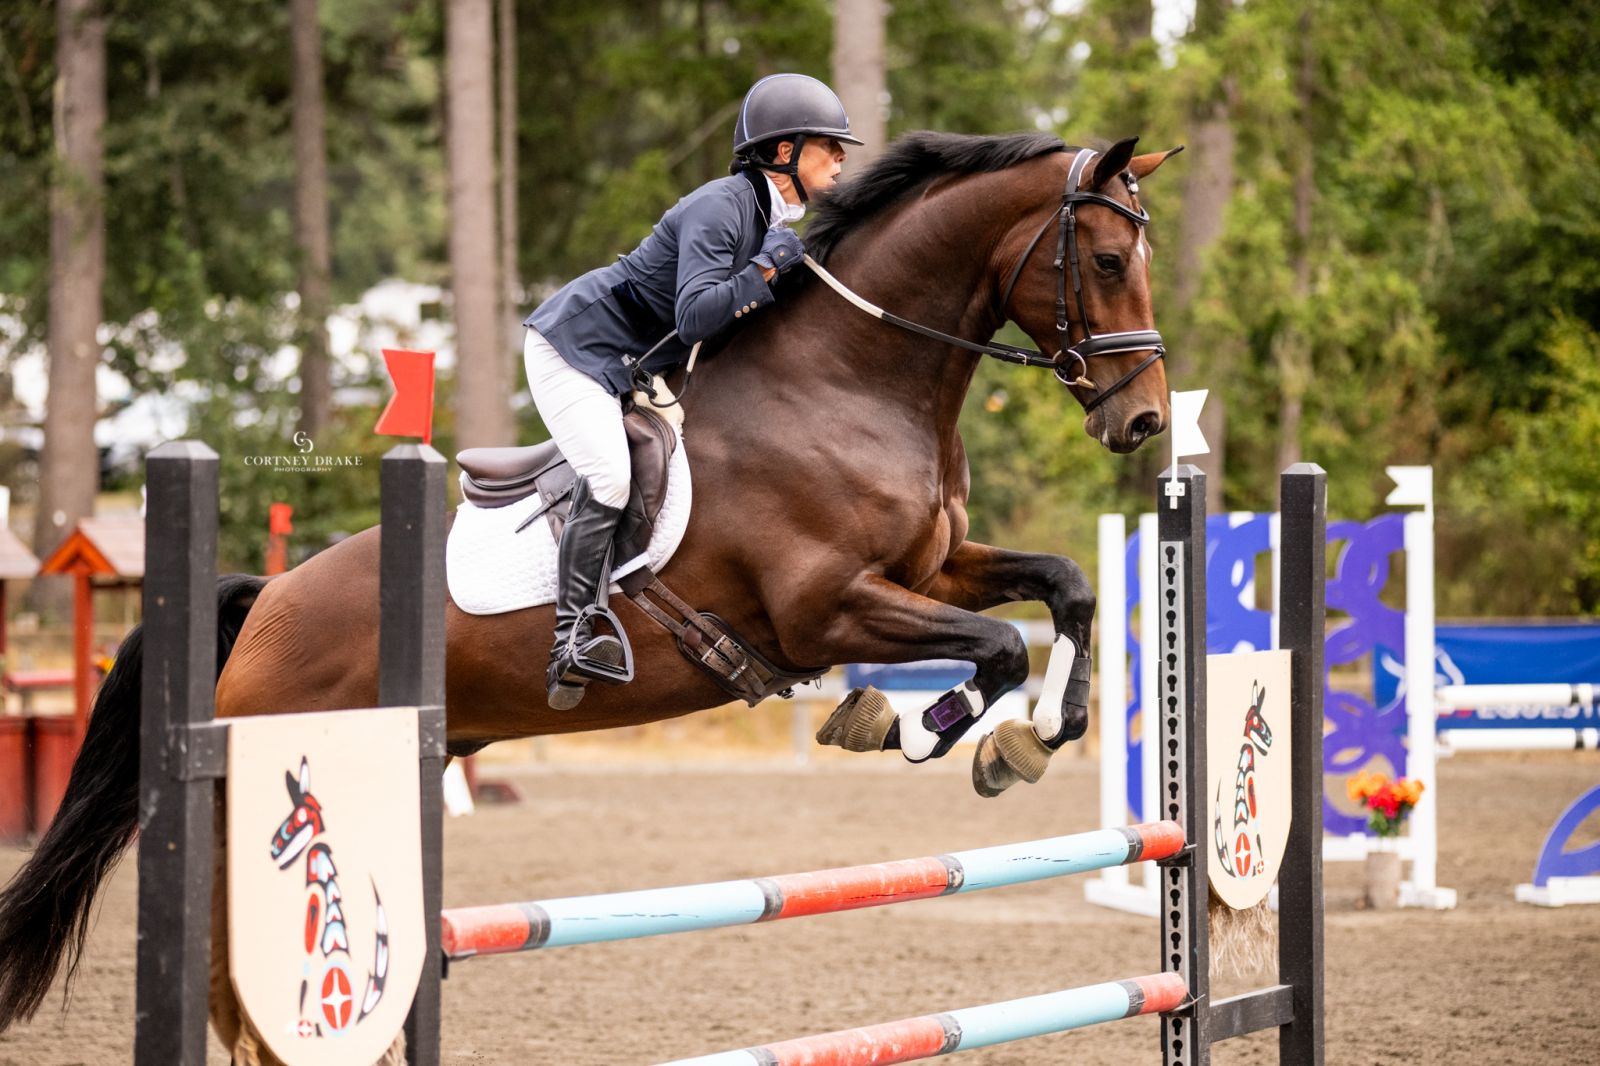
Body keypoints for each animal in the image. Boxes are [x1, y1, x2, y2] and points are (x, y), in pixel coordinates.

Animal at [0, 130, 1179, 1059]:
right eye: (1107, 258)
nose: (1144, 423)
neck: (849, 380)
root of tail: (265, 604)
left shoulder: (931, 567)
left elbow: (1064, 591)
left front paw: (1045, 729)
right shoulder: (827, 607)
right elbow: (996, 647)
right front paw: (929, 729)